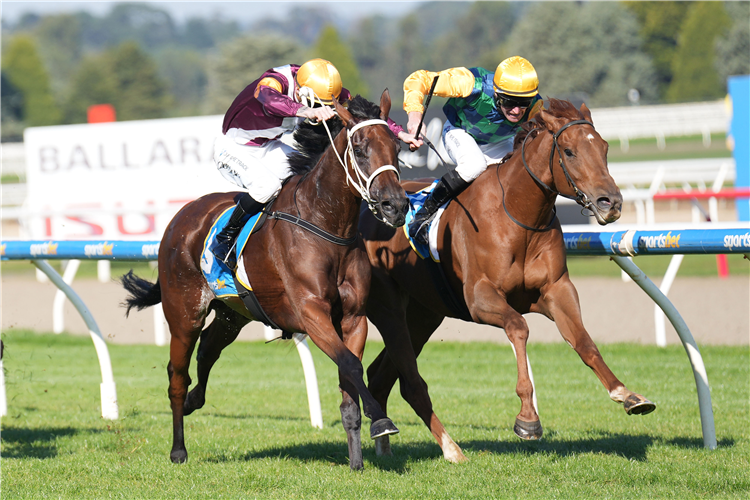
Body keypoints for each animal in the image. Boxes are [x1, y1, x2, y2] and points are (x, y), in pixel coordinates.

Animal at [121, 91, 409, 470]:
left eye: (396, 148)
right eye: (359, 149)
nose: (396, 206)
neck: (327, 224)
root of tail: (180, 217)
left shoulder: (353, 317)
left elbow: (350, 380)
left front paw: (357, 461)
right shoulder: (311, 313)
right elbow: (350, 363)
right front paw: (382, 420)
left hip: (233, 313)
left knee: (208, 350)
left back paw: (195, 401)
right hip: (184, 313)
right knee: (177, 376)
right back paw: (178, 449)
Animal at [359, 98, 655, 463]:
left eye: (605, 148)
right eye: (569, 151)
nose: (610, 202)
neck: (518, 214)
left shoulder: (557, 290)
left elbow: (584, 342)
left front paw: (627, 394)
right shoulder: (479, 298)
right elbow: (519, 327)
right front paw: (528, 419)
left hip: (422, 315)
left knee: (381, 375)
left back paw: (386, 447)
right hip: (389, 308)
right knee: (403, 380)